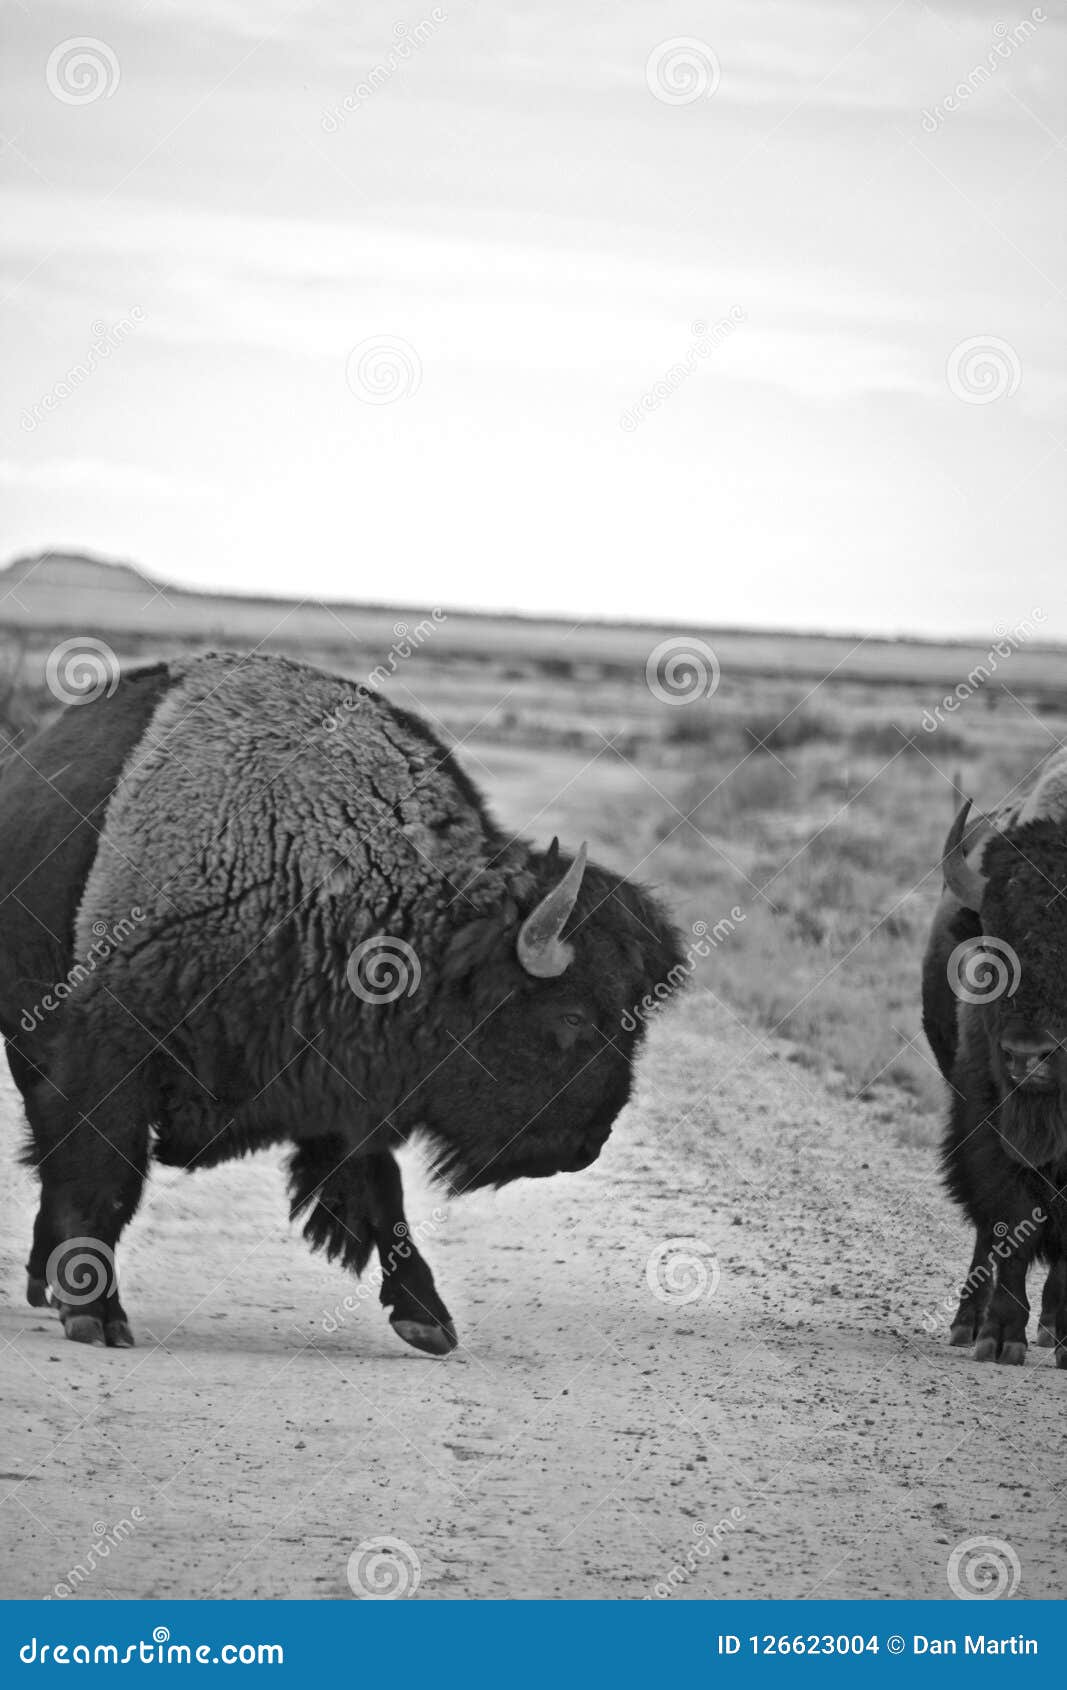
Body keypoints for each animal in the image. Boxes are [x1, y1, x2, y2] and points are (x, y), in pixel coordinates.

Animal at [0, 652, 684, 1355]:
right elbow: (104, 1177)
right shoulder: (111, 1056)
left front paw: (427, 1318)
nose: (590, 1142)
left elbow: (382, 1192)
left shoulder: (344, 1082)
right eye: (572, 1016)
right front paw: (97, 1315)